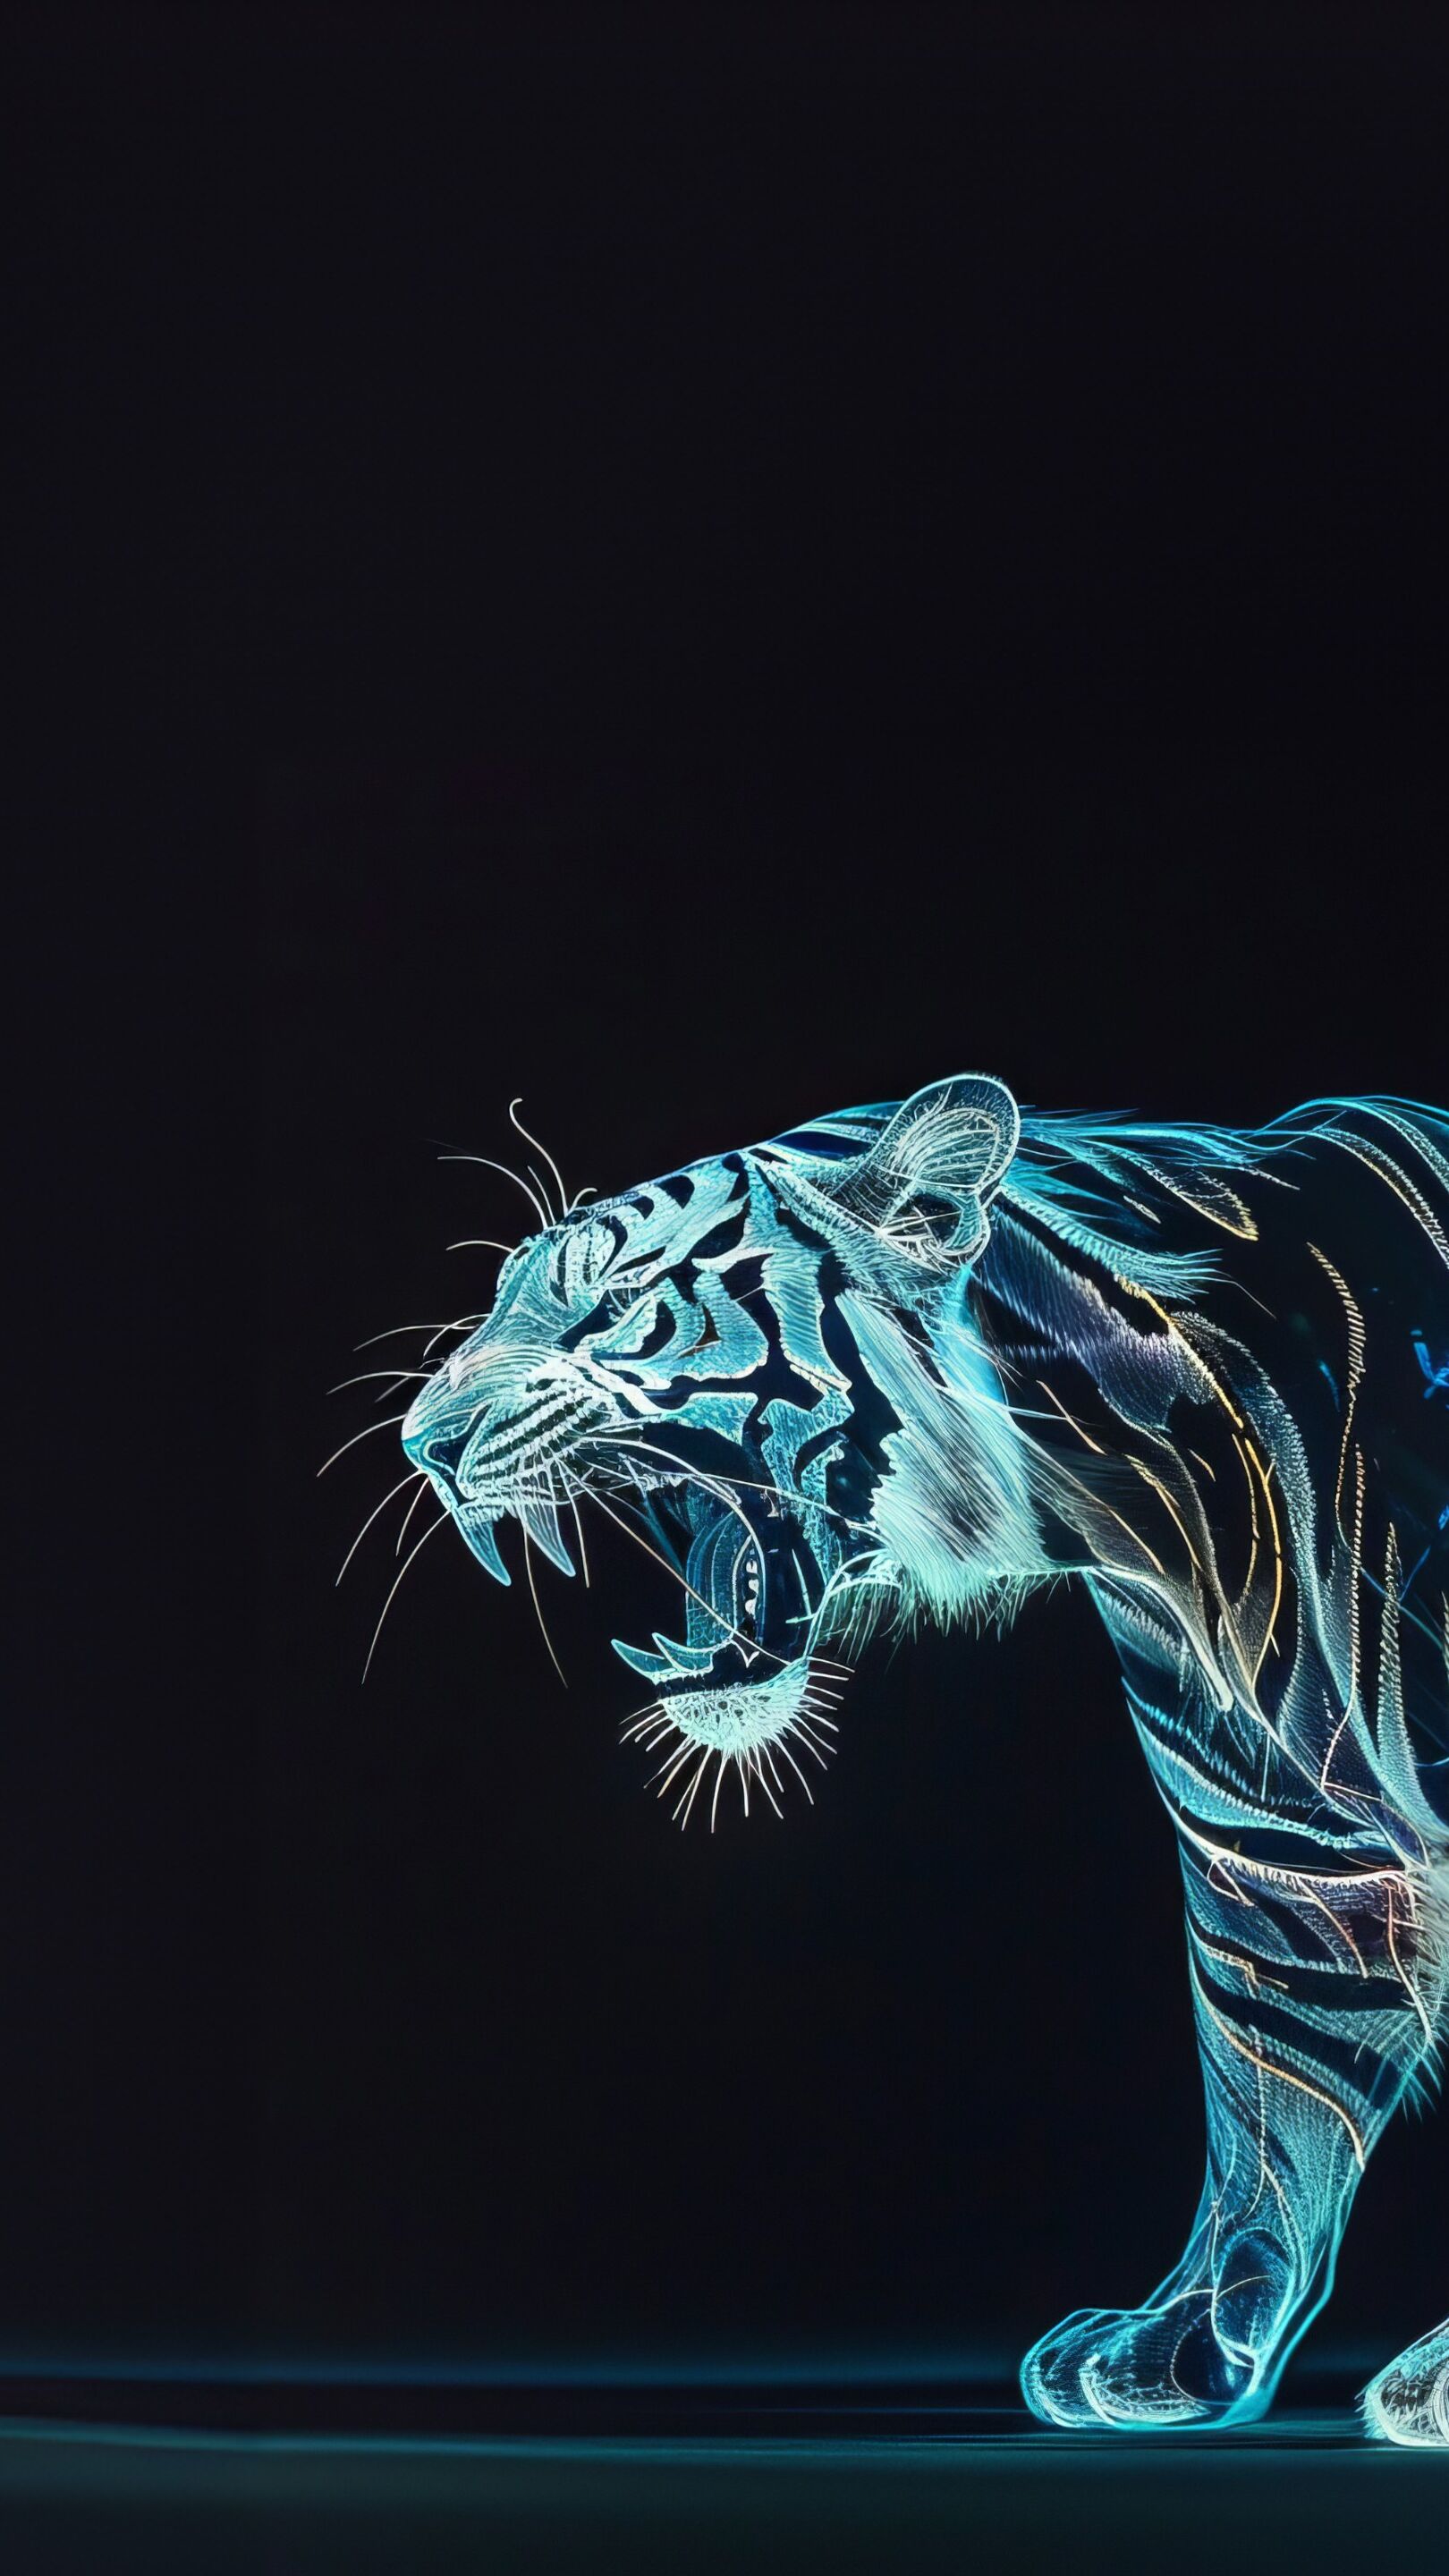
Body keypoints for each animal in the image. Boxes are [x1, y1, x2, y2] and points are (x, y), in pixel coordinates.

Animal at [390, 1077, 1449, 2443]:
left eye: (615, 1302)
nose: (424, 1441)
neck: (1142, 1499)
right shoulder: (1281, 1855)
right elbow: (1270, 2090)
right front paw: (1176, 2349)